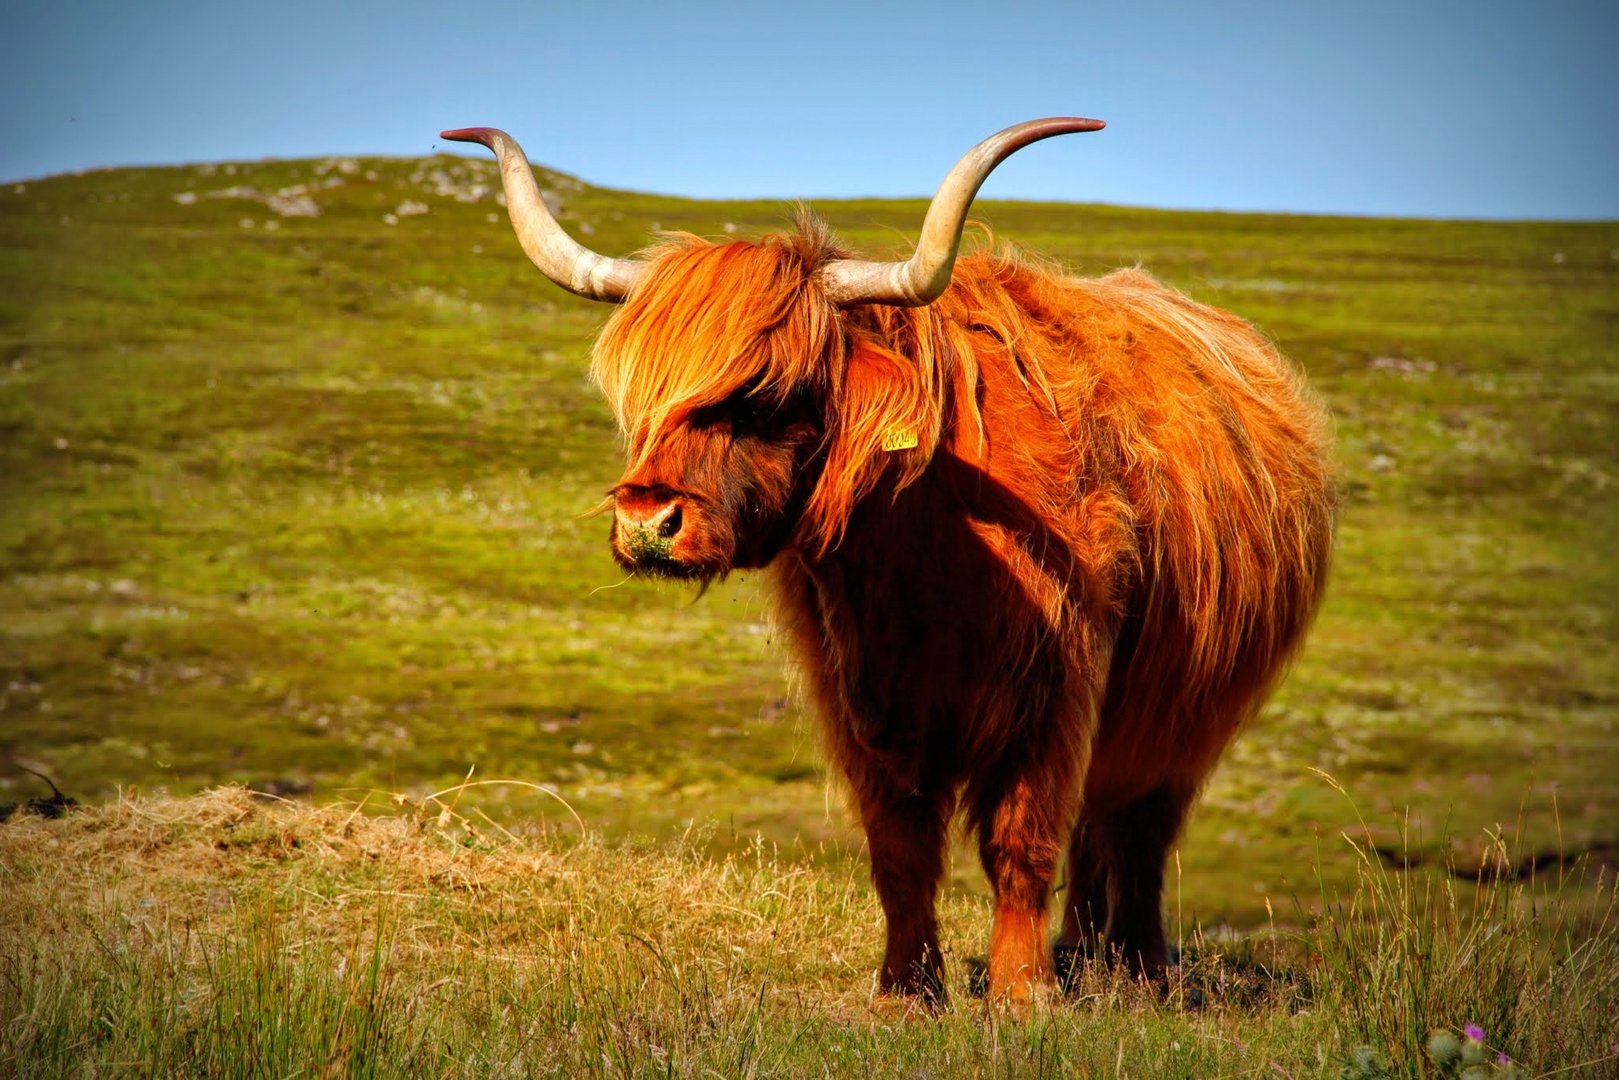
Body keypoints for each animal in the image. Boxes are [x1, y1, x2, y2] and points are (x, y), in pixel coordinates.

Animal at [442, 118, 1336, 1007]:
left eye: (769, 394)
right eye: (644, 400)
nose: (646, 522)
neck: (916, 555)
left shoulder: (1058, 686)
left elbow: (1020, 842)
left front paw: (1020, 995)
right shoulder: (857, 701)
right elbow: (899, 852)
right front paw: (906, 987)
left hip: (1189, 709)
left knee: (1139, 828)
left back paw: (1139, 970)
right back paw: (1086, 959)